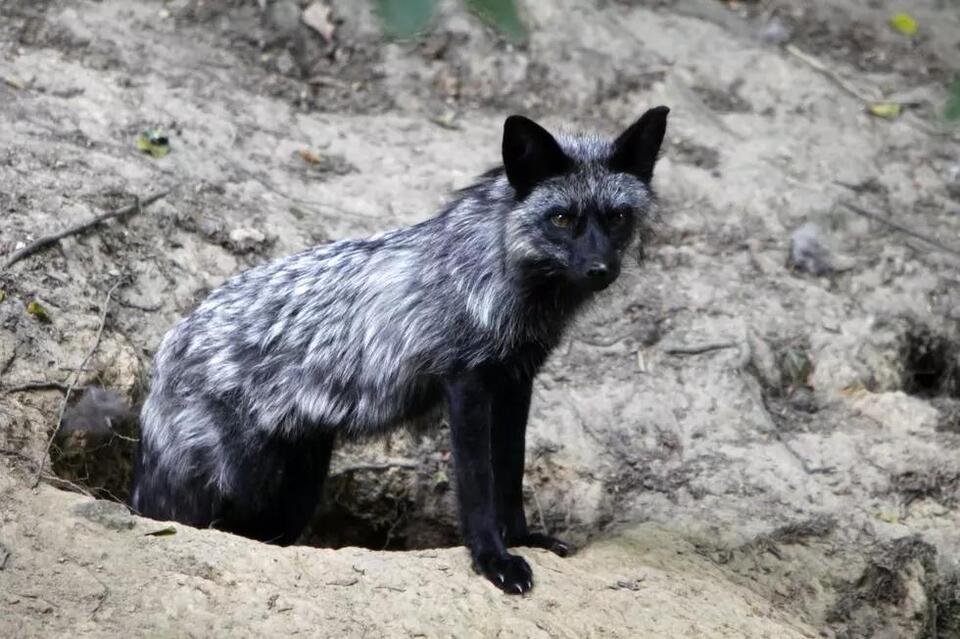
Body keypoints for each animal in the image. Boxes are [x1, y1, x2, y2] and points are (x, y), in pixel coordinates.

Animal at [130, 106, 669, 594]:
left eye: (617, 218)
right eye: (561, 218)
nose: (601, 270)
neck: (497, 273)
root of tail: (169, 348)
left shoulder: (516, 381)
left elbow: (510, 473)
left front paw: (521, 539)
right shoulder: (466, 383)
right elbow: (478, 484)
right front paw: (493, 559)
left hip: (297, 487)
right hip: (234, 487)